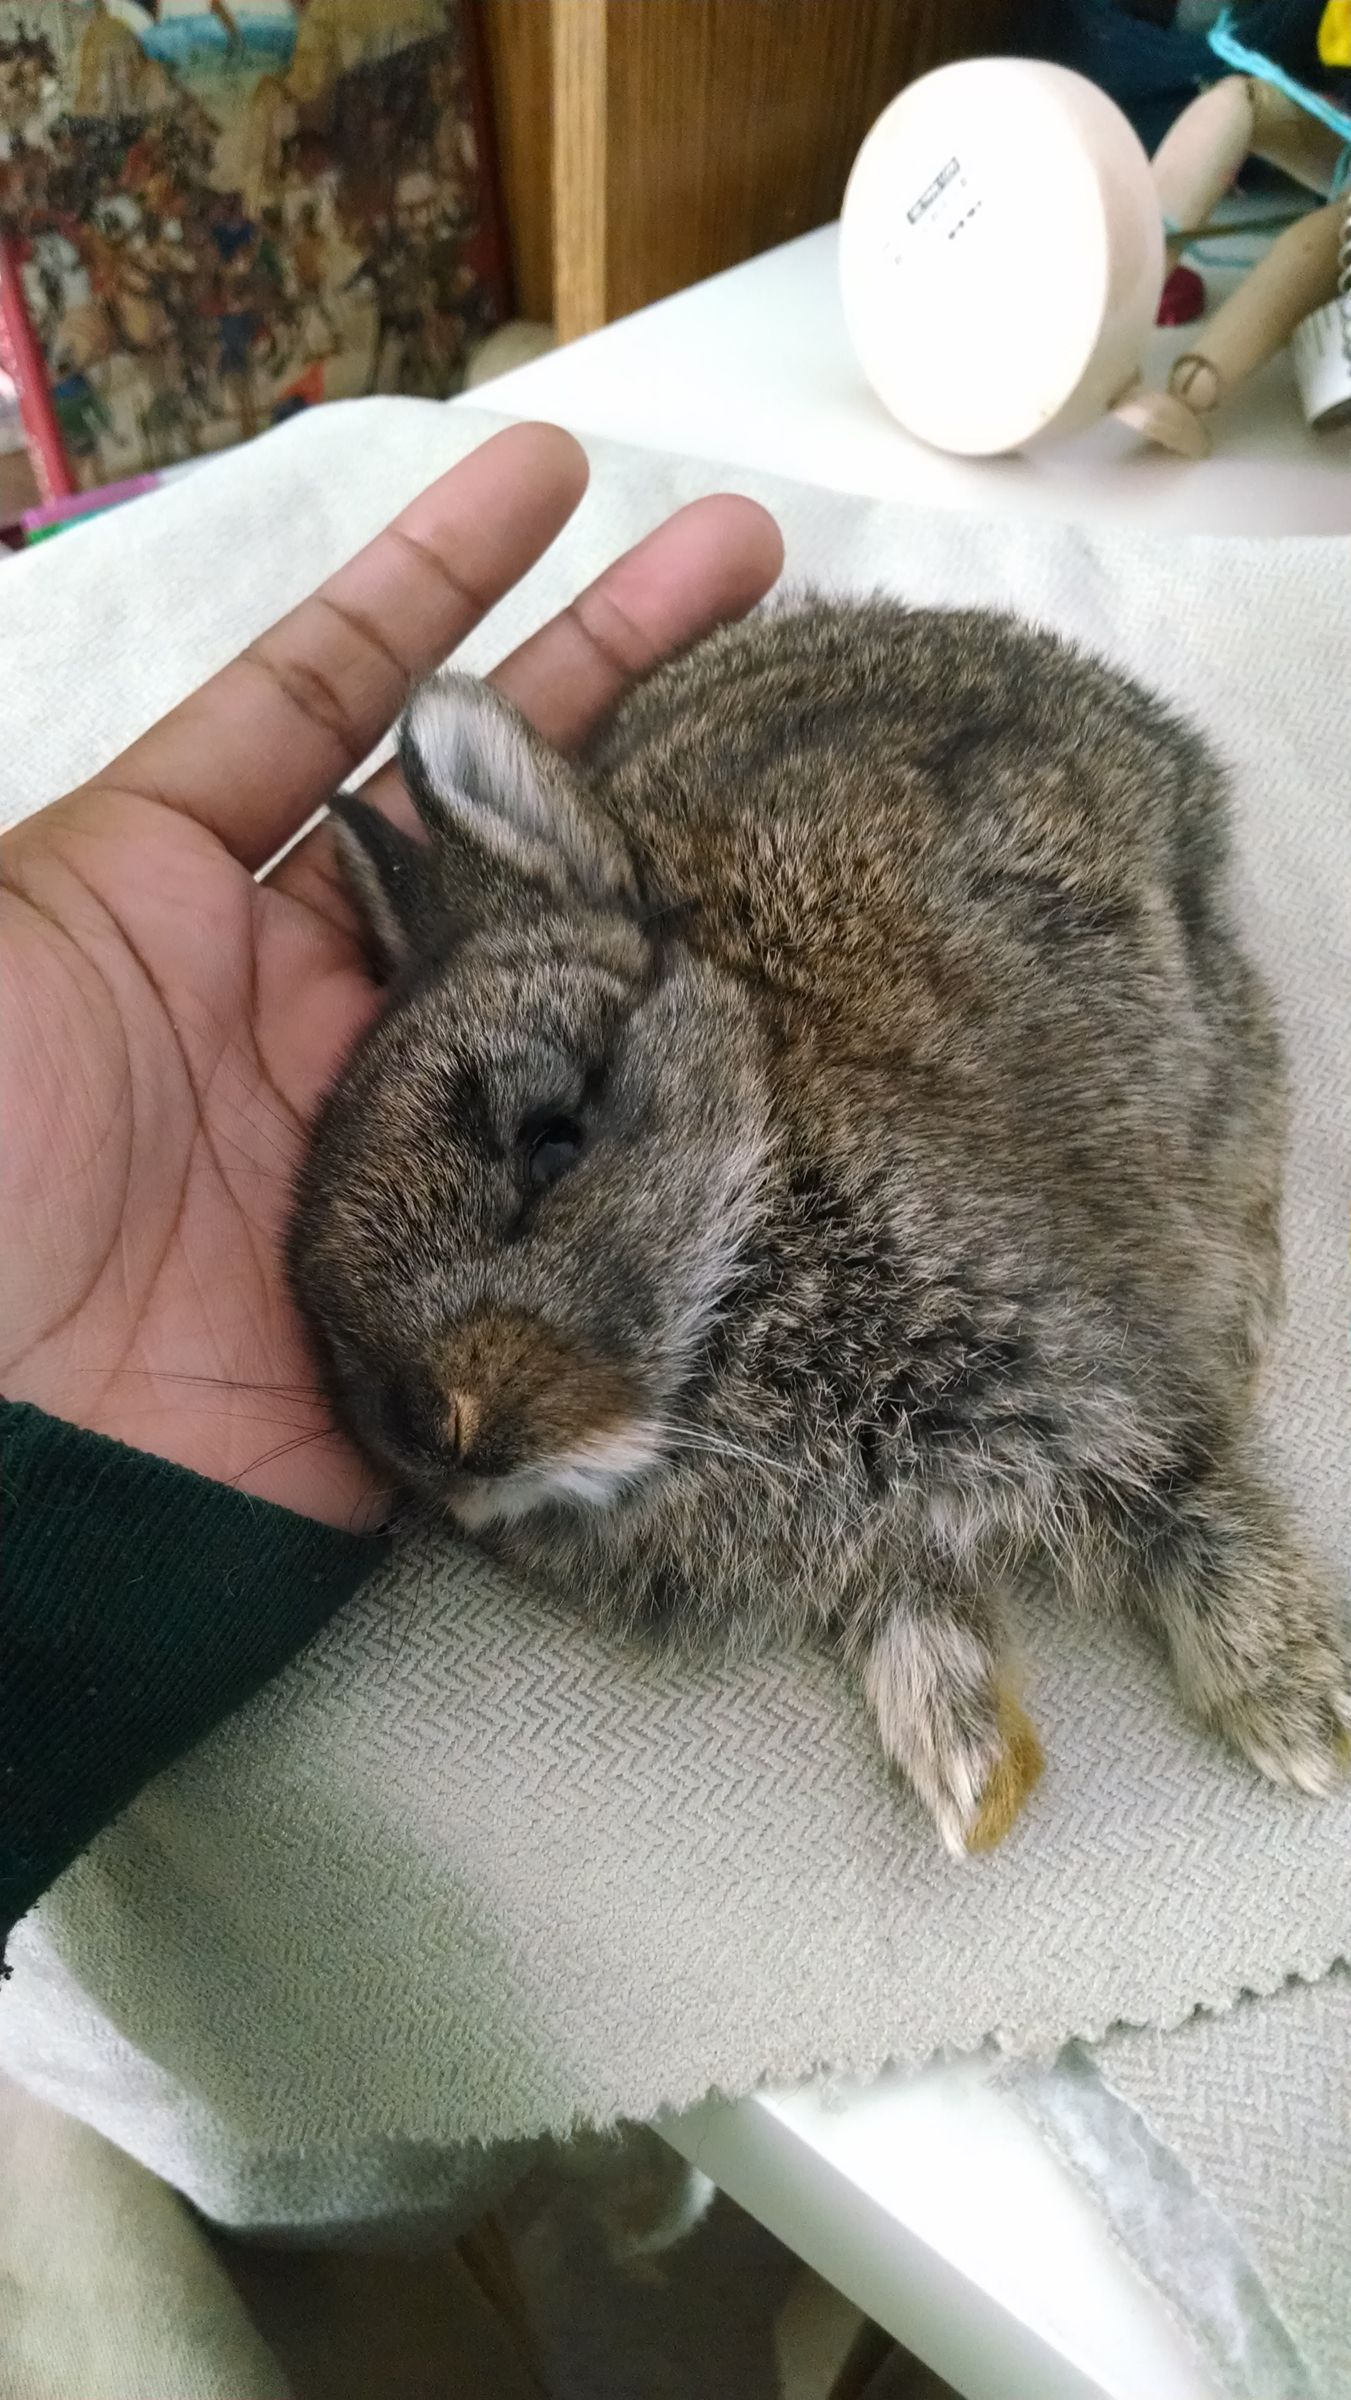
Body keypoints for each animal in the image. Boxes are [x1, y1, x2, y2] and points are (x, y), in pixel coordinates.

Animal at [288, 596, 1350, 1856]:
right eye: (327, 1322)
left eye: (552, 1142)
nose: (438, 1432)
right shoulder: (882, 1550)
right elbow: (914, 1619)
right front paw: (969, 1778)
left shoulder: (1098, 1378)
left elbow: (1197, 1514)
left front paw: (1304, 1720)